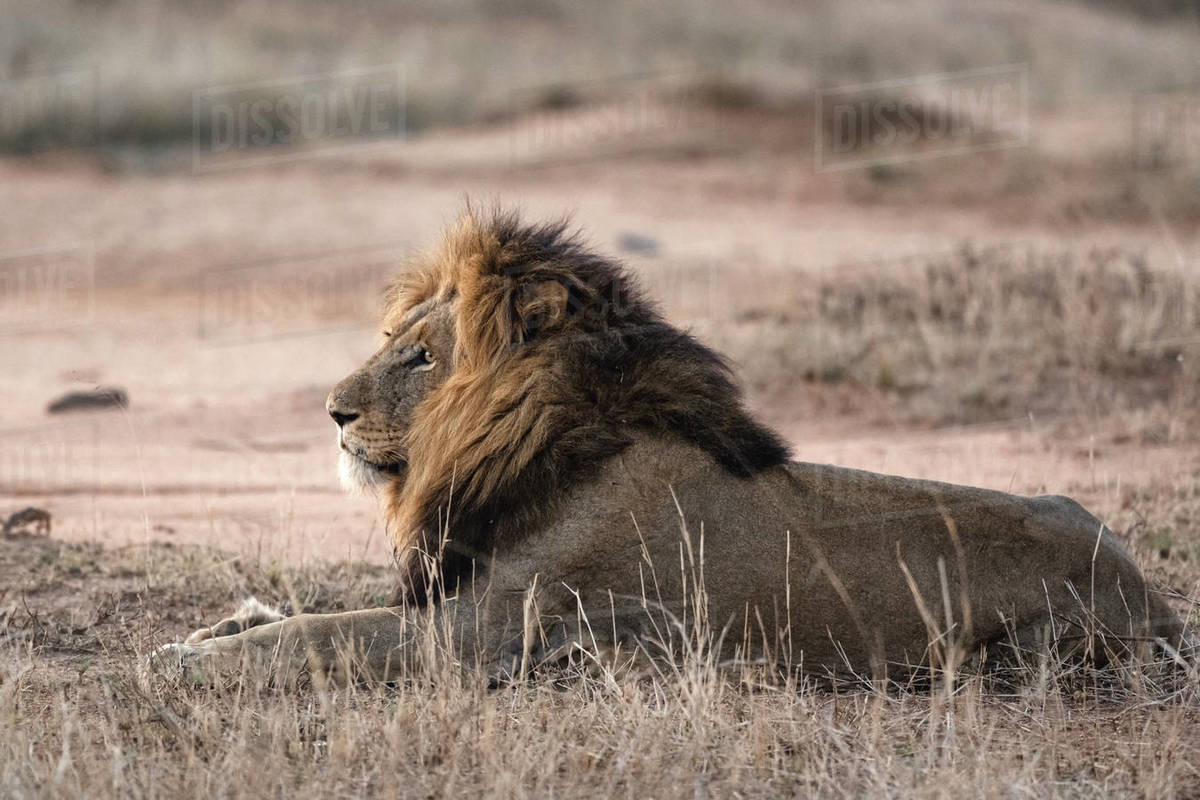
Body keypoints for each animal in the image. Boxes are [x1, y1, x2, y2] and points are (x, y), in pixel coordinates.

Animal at [152, 208, 1185, 687]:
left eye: (420, 355)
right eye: (392, 340)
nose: (330, 412)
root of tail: (1152, 595)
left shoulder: (478, 632)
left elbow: (317, 631)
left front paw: (185, 660)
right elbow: (300, 611)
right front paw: (210, 632)